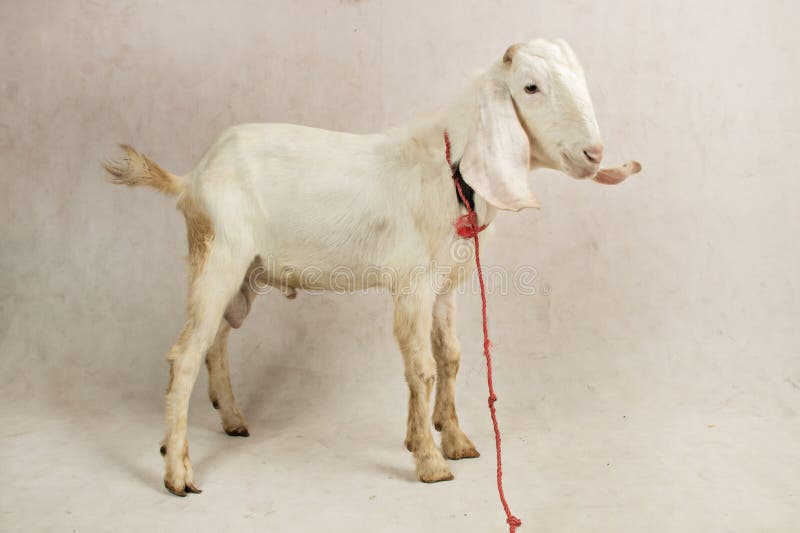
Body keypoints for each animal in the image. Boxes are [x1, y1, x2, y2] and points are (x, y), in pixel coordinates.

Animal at [105, 39, 640, 496]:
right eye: (531, 87)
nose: (594, 153)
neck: (450, 169)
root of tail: (192, 178)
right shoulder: (412, 285)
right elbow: (422, 367)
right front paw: (430, 461)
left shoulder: (444, 288)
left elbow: (450, 357)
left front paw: (453, 440)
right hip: (218, 256)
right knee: (185, 353)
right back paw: (178, 471)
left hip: (245, 273)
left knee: (217, 339)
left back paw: (231, 419)